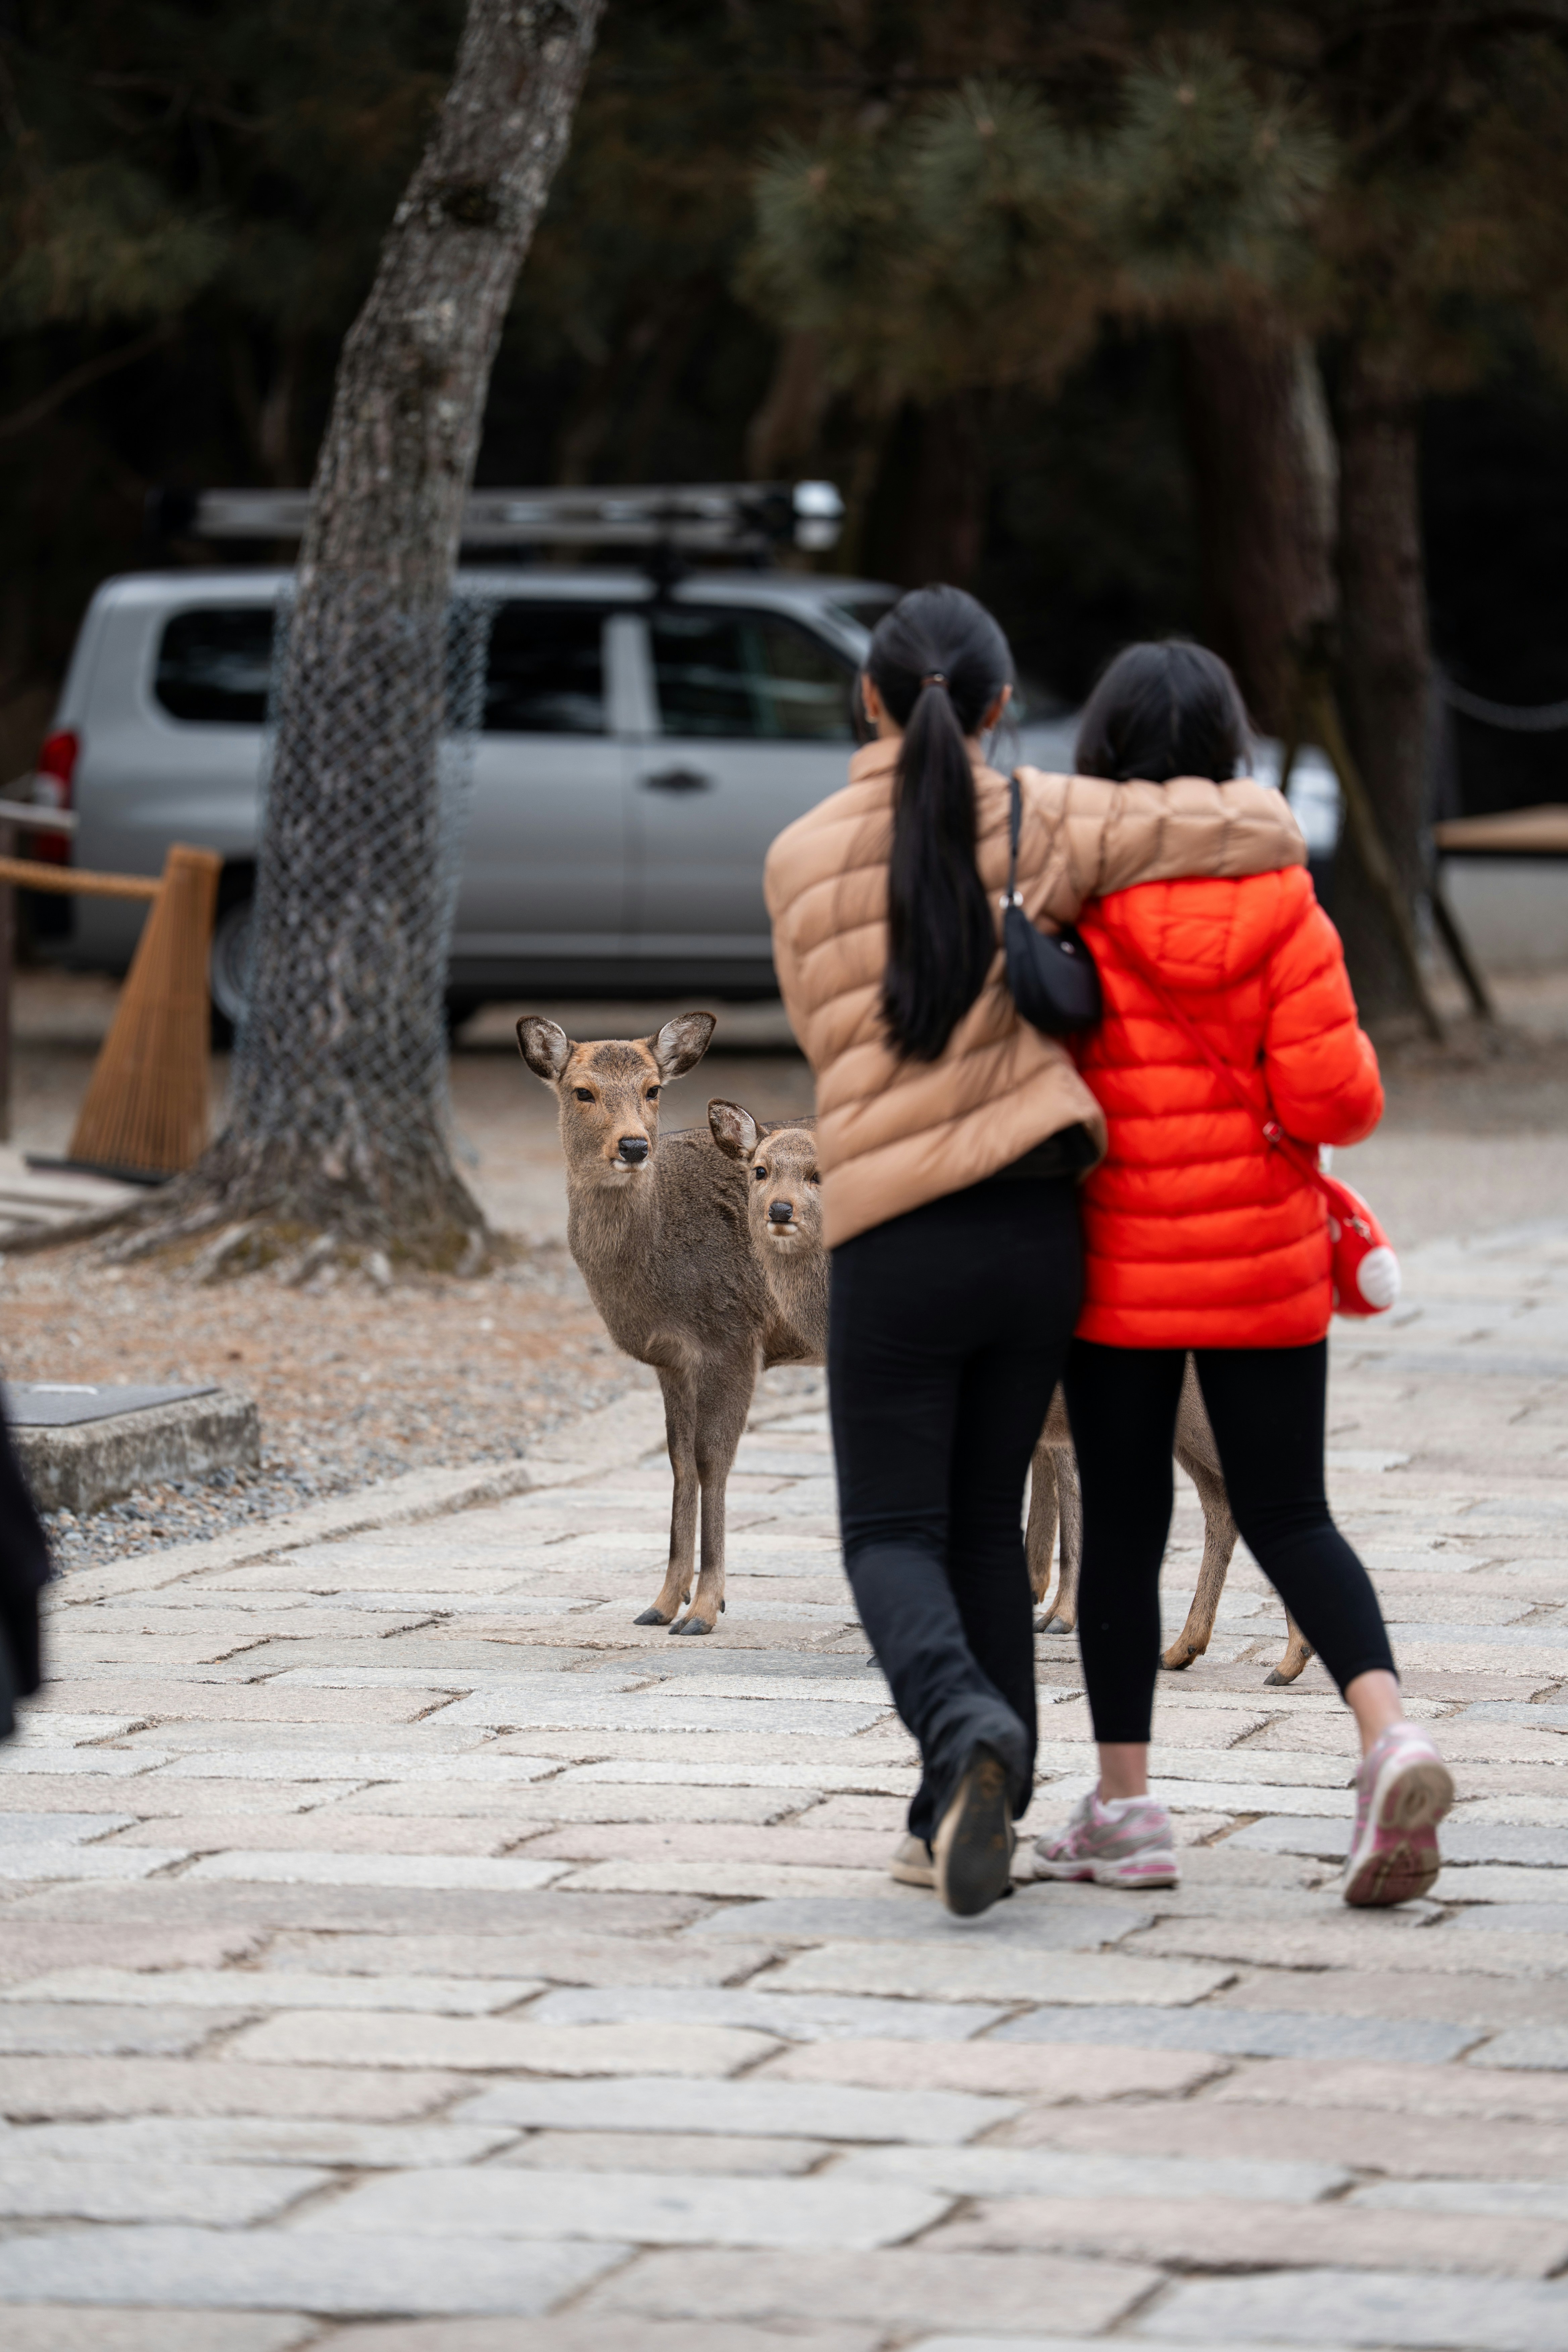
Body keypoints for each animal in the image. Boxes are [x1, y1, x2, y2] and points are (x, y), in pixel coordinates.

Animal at [516, 1013, 819, 1636]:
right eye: (582, 1091)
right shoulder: (671, 1359)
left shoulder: (735, 1336)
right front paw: (661, 1601)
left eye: (654, 1088)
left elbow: (712, 1459)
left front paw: (705, 1608)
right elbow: (679, 1461)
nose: (633, 1145)